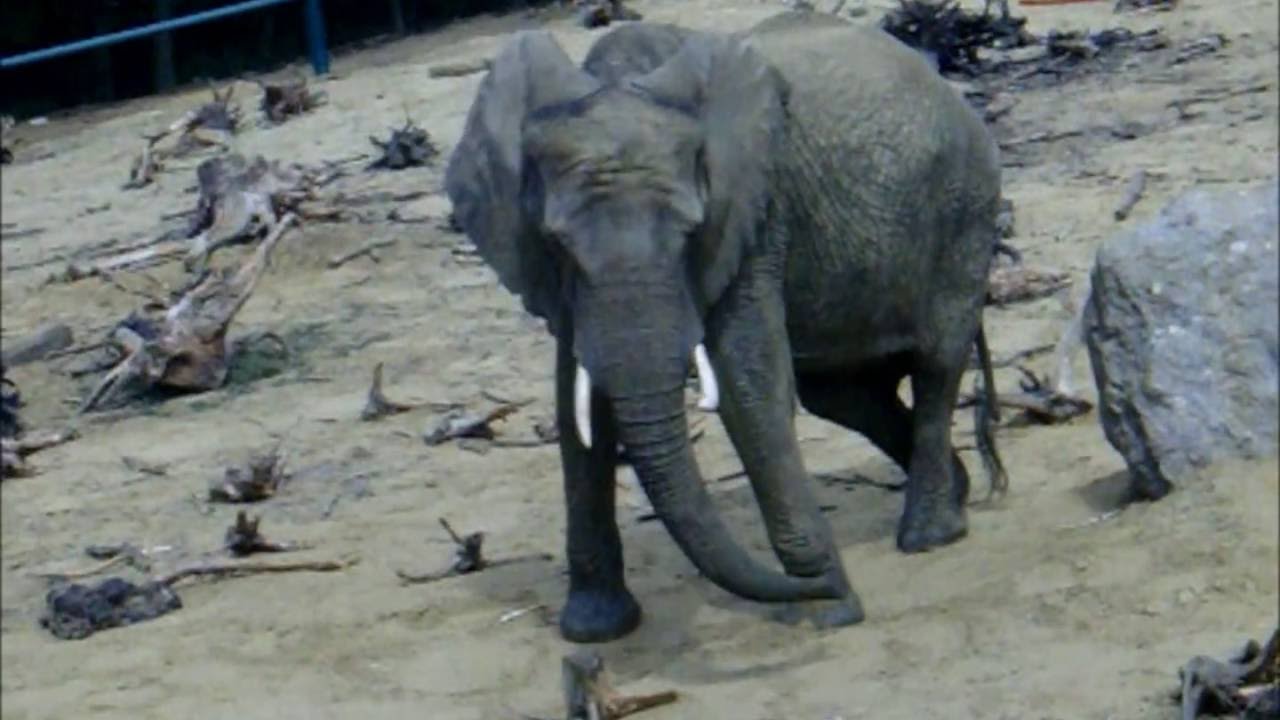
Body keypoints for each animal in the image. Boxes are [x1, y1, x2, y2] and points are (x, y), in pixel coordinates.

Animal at [443, 10, 1005, 643]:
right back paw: (956, 490)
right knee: (842, 394)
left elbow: (747, 385)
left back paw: (930, 535)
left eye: (691, 233)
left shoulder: (755, 214)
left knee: (935, 363)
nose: (834, 587)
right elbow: (576, 405)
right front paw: (596, 630)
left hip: (965, 208)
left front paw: (826, 610)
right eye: (557, 244)